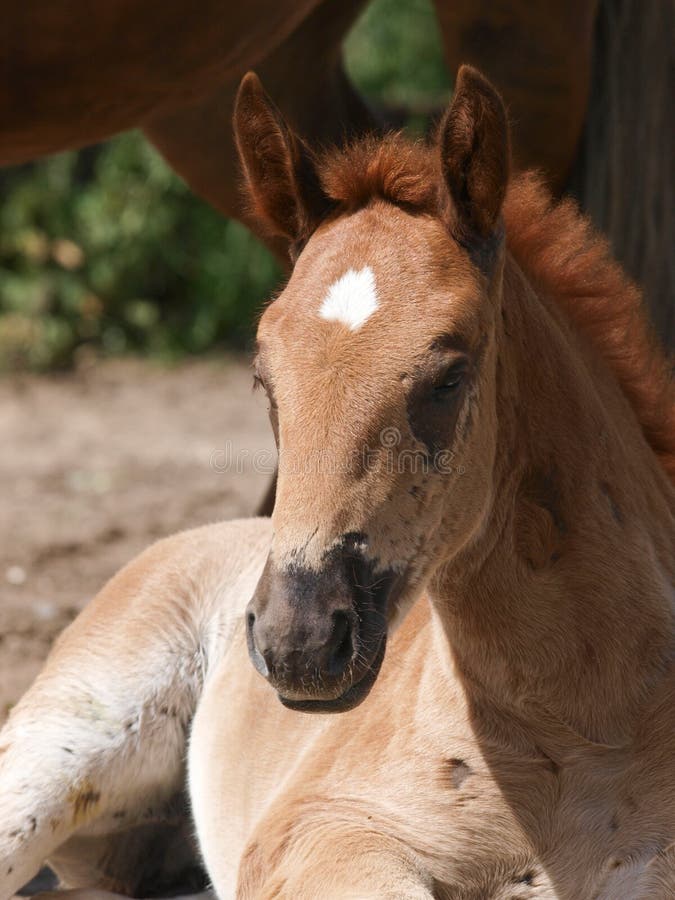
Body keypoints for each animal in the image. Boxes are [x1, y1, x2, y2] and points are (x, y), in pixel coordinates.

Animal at [1, 65, 674, 898]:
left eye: (449, 376)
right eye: (264, 379)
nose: (300, 642)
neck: (570, 722)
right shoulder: (317, 829)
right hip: (62, 744)